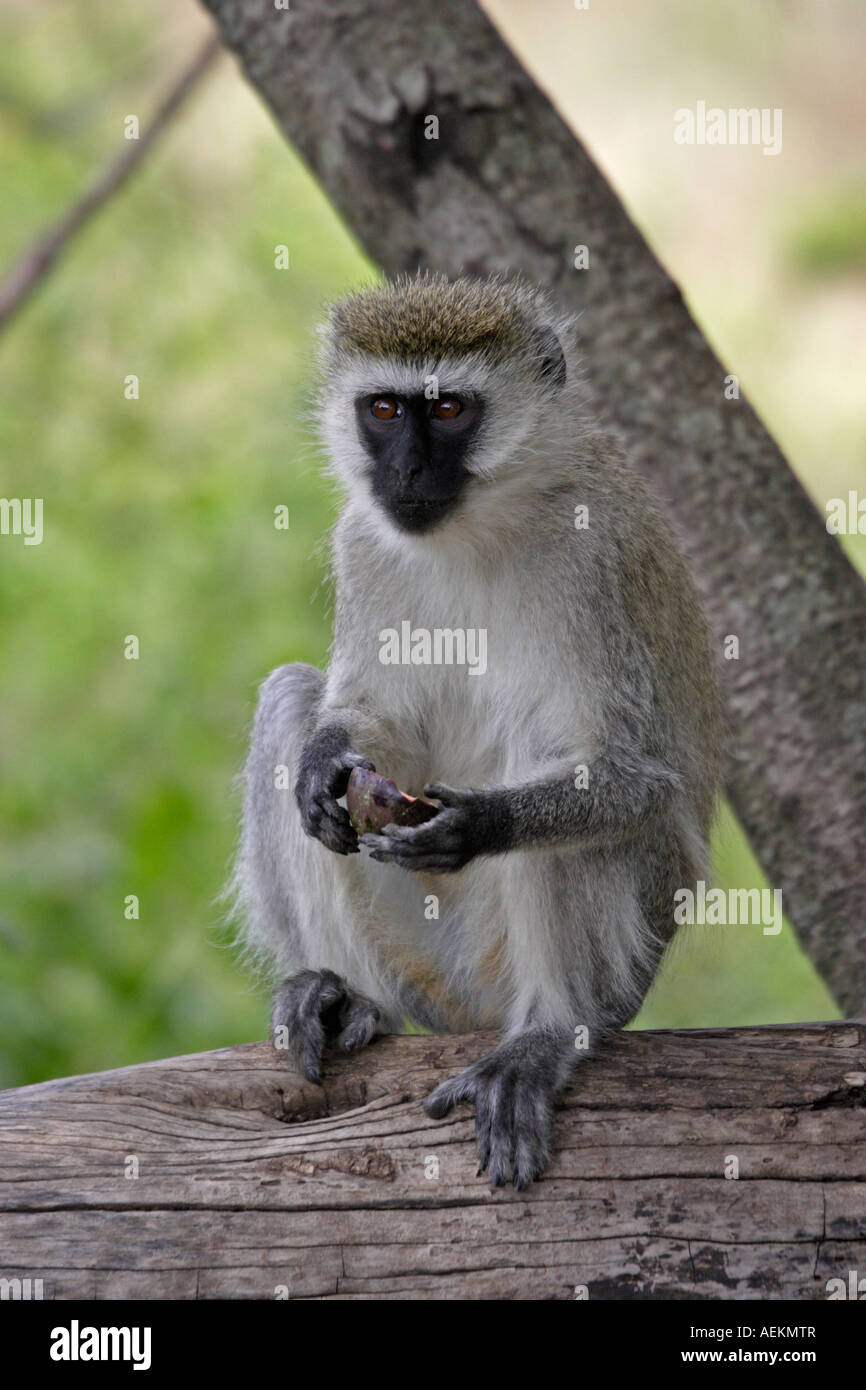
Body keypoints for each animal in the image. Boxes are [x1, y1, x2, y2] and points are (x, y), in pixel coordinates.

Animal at [232, 272, 723, 1189]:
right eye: (386, 409)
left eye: (452, 409)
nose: (407, 468)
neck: (478, 524)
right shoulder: (363, 540)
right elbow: (368, 722)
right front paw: (325, 763)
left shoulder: (590, 560)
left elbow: (635, 777)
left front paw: (478, 824)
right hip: (426, 969)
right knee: (287, 696)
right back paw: (346, 998)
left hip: (611, 959)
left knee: (561, 774)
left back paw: (543, 1036)